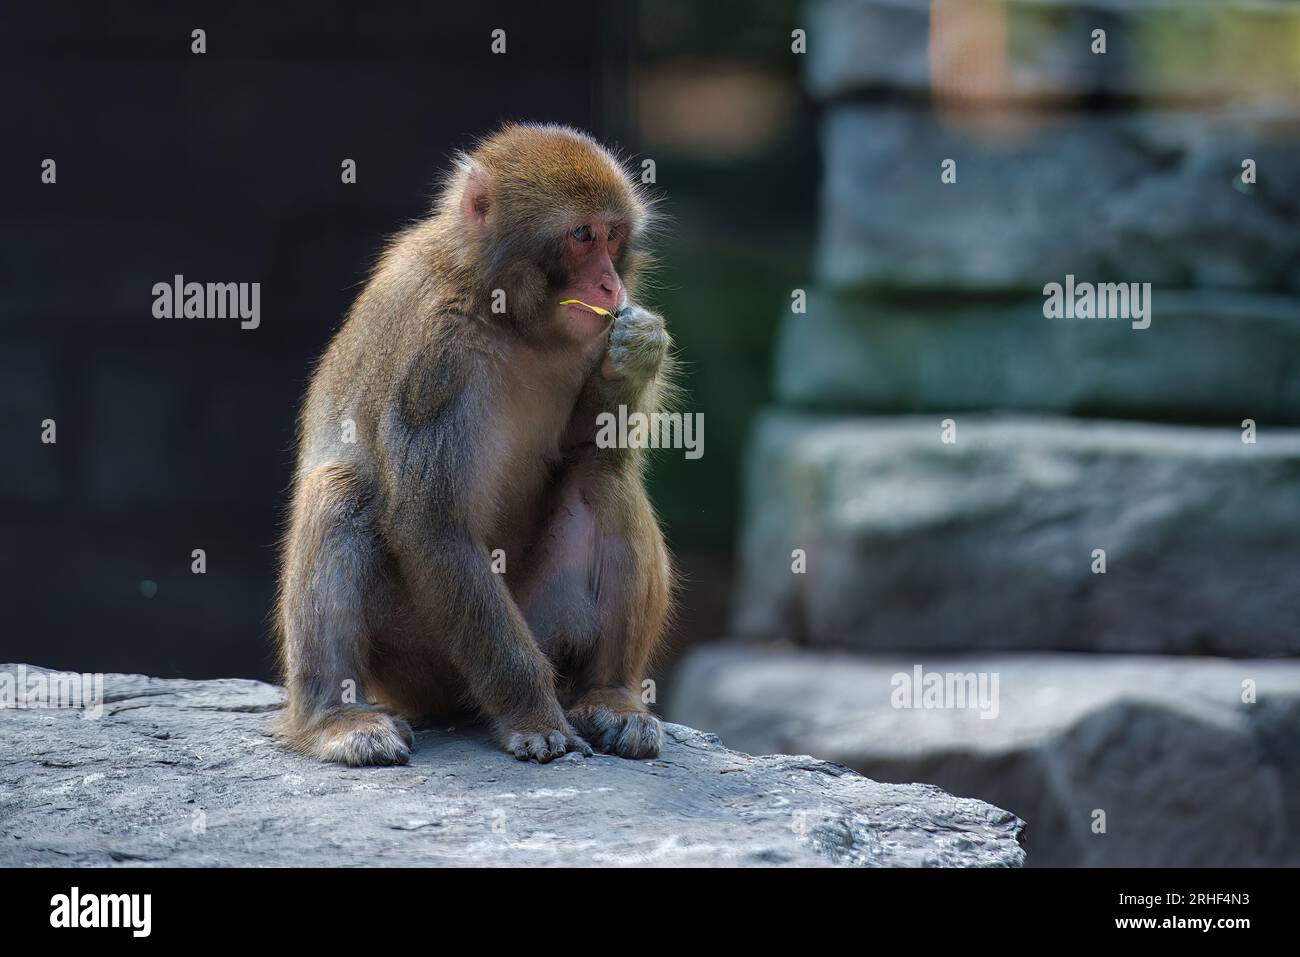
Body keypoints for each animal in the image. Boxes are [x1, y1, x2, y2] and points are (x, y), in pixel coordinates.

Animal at [274, 123, 675, 767]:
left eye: (613, 237)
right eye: (582, 236)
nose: (611, 285)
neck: (504, 311)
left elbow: (588, 449)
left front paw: (637, 354)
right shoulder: (434, 358)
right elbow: (434, 524)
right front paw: (533, 715)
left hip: (545, 619)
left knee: (603, 481)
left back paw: (609, 695)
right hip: (418, 661)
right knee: (341, 494)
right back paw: (334, 718)